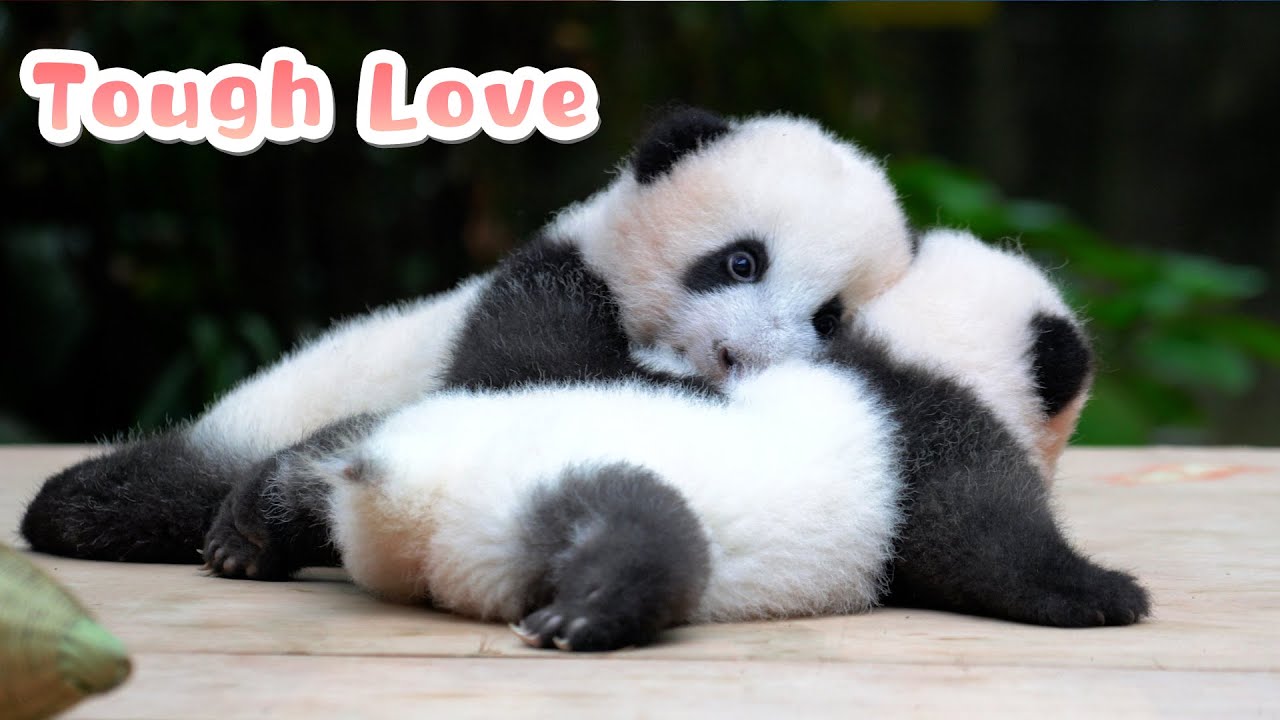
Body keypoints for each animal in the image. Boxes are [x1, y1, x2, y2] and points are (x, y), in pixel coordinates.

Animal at [21, 107, 917, 564]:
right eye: (740, 261)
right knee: (138, 493)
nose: (739, 358)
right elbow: (524, 369)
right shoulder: (548, 279)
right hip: (262, 413)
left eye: (827, 315)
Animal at [199, 228, 1143, 653]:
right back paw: (587, 612)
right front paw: (1107, 593)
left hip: (428, 431)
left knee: (316, 456)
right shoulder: (928, 428)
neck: (907, 339)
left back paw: (247, 533)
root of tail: (401, 490)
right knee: (648, 532)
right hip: (551, 487)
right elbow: (986, 536)